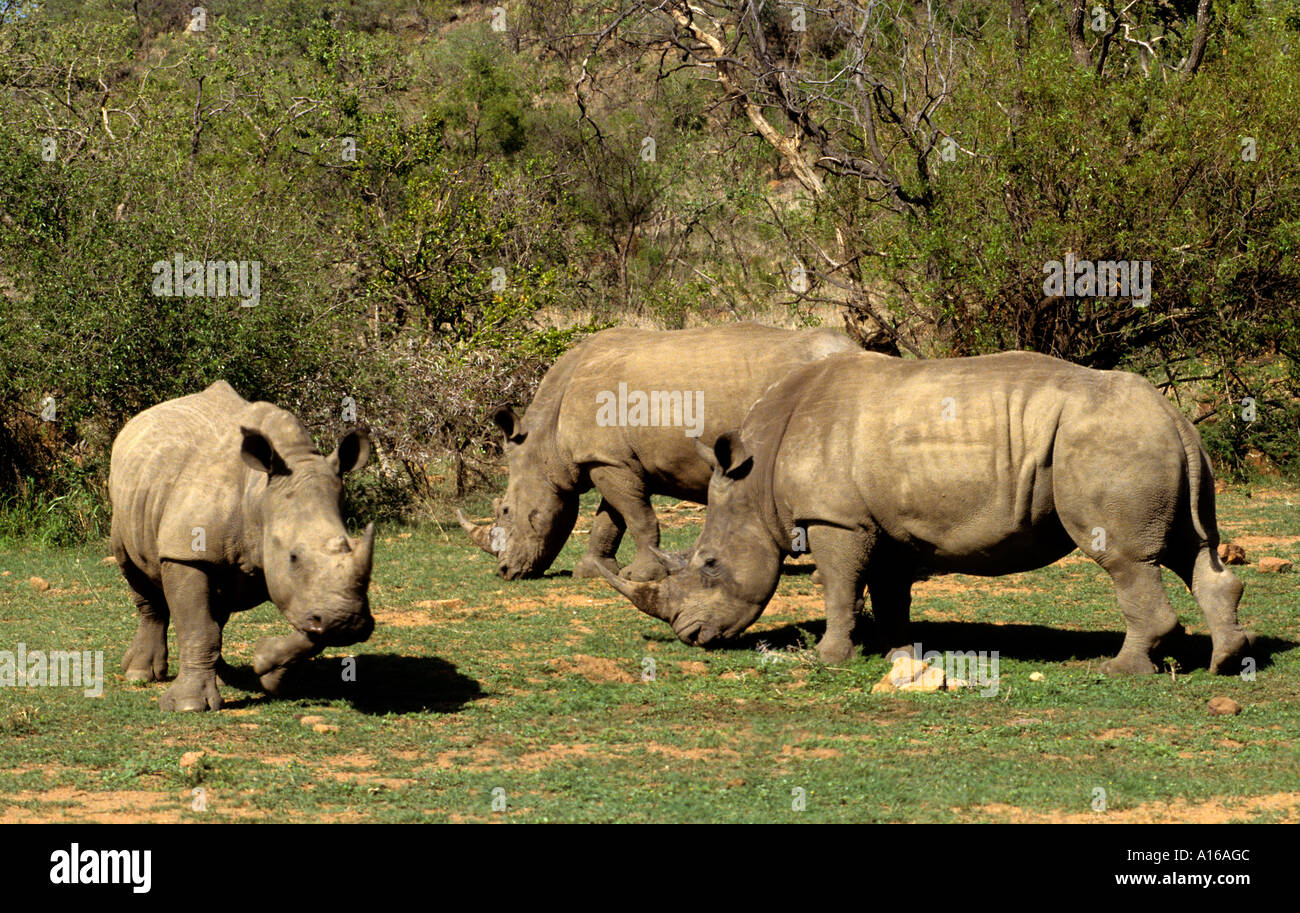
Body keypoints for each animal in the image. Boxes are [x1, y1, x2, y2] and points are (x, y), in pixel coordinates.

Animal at [109, 381, 376, 711]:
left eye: (352, 545)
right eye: (293, 557)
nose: (348, 621)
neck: (260, 495)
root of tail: (136, 421)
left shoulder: (298, 590)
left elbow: (311, 626)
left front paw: (268, 669)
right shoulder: (185, 551)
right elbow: (197, 626)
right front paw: (189, 706)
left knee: (218, 609)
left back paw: (224, 677)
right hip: (126, 502)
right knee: (135, 573)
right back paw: (139, 674)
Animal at [457, 323, 859, 581]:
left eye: (506, 511)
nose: (504, 571)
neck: (545, 441)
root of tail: (855, 350)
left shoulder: (609, 462)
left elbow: (637, 518)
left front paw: (640, 576)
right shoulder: (609, 460)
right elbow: (609, 519)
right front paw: (592, 571)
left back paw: (820, 579)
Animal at [599, 350, 1254, 676]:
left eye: (709, 564)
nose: (689, 636)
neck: (756, 481)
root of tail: (1175, 414)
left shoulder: (836, 519)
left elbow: (839, 587)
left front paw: (829, 659)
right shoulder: (882, 523)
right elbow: (889, 592)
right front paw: (899, 655)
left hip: (1110, 440)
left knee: (1125, 560)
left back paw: (1120, 671)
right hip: (1157, 442)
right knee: (1192, 549)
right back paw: (1224, 661)